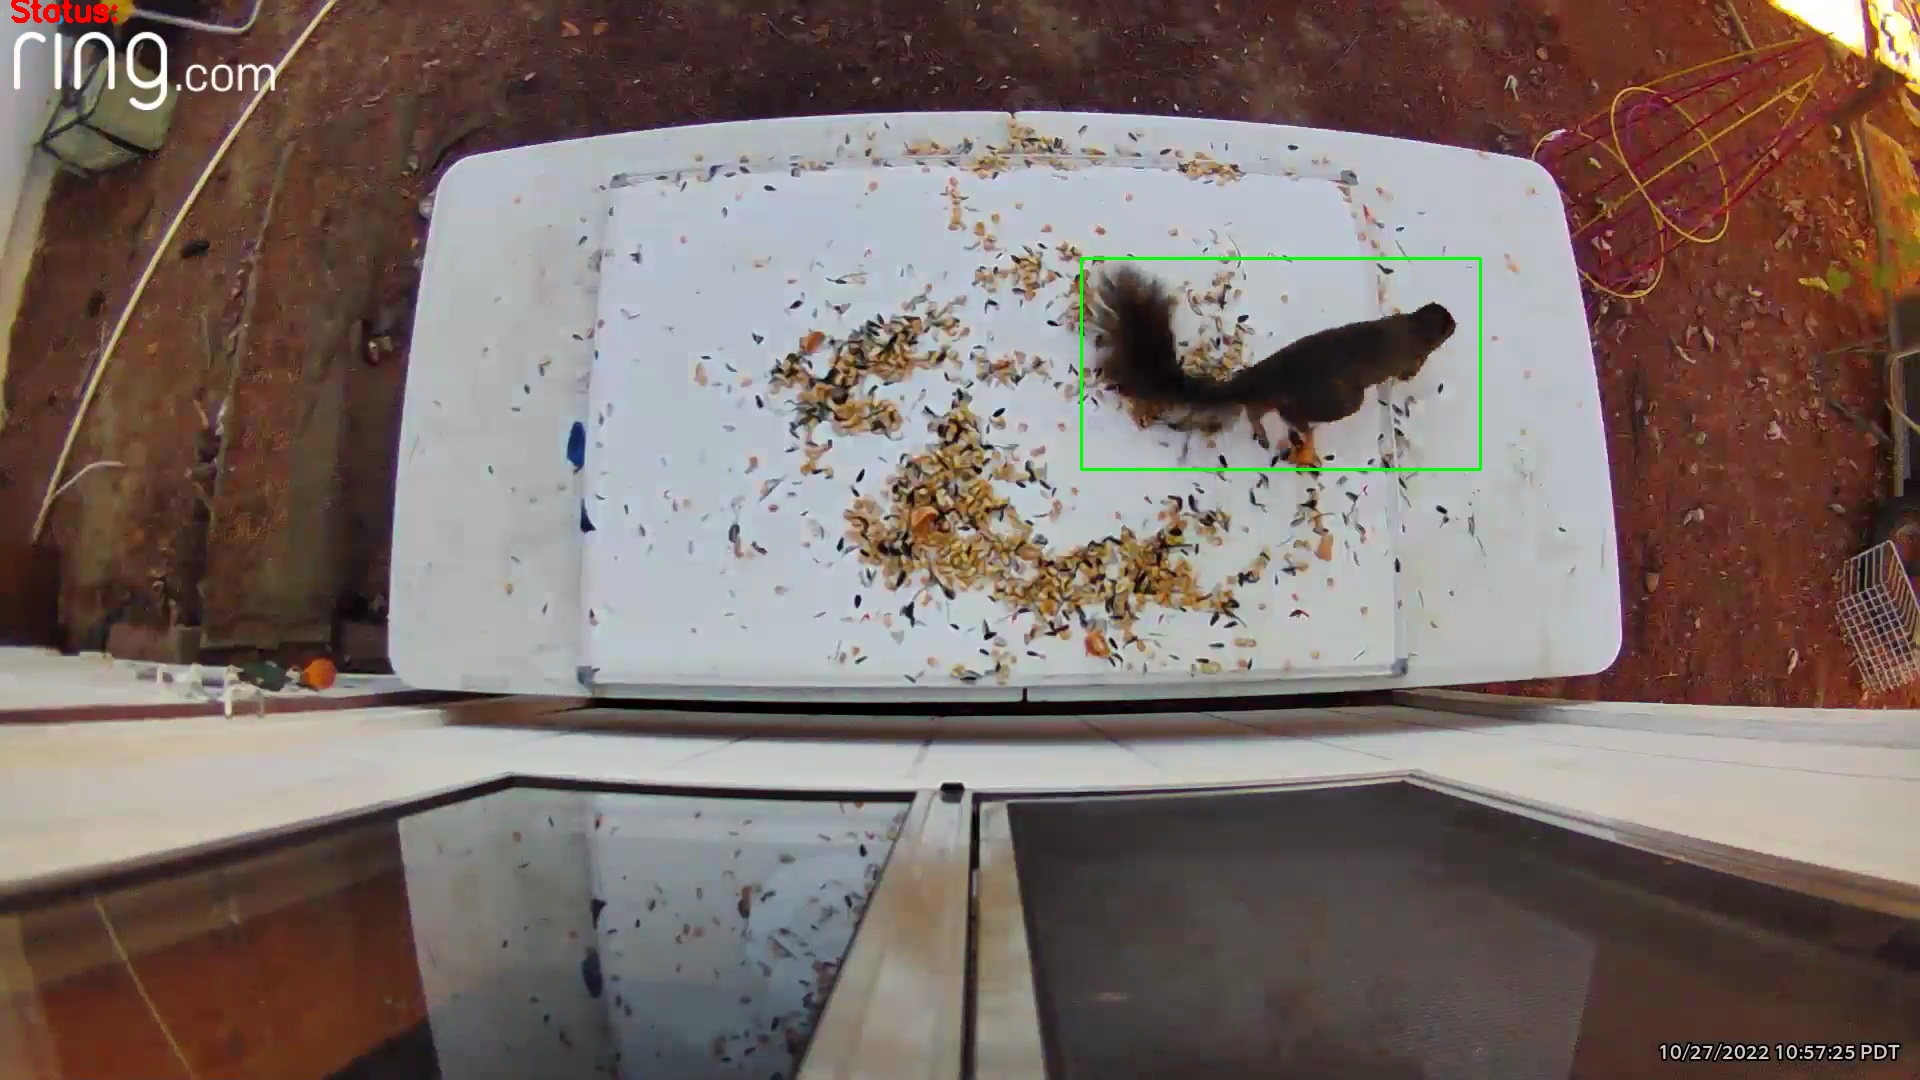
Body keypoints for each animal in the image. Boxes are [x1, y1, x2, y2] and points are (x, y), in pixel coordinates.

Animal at [1088, 265, 1457, 458]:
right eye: (1447, 327)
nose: (1455, 324)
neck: (1413, 326)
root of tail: (1263, 376)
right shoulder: (1413, 358)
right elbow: (1408, 372)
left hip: (1270, 398)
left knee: (1257, 409)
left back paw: (1262, 434)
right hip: (1337, 400)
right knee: (1290, 415)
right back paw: (1301, 435)